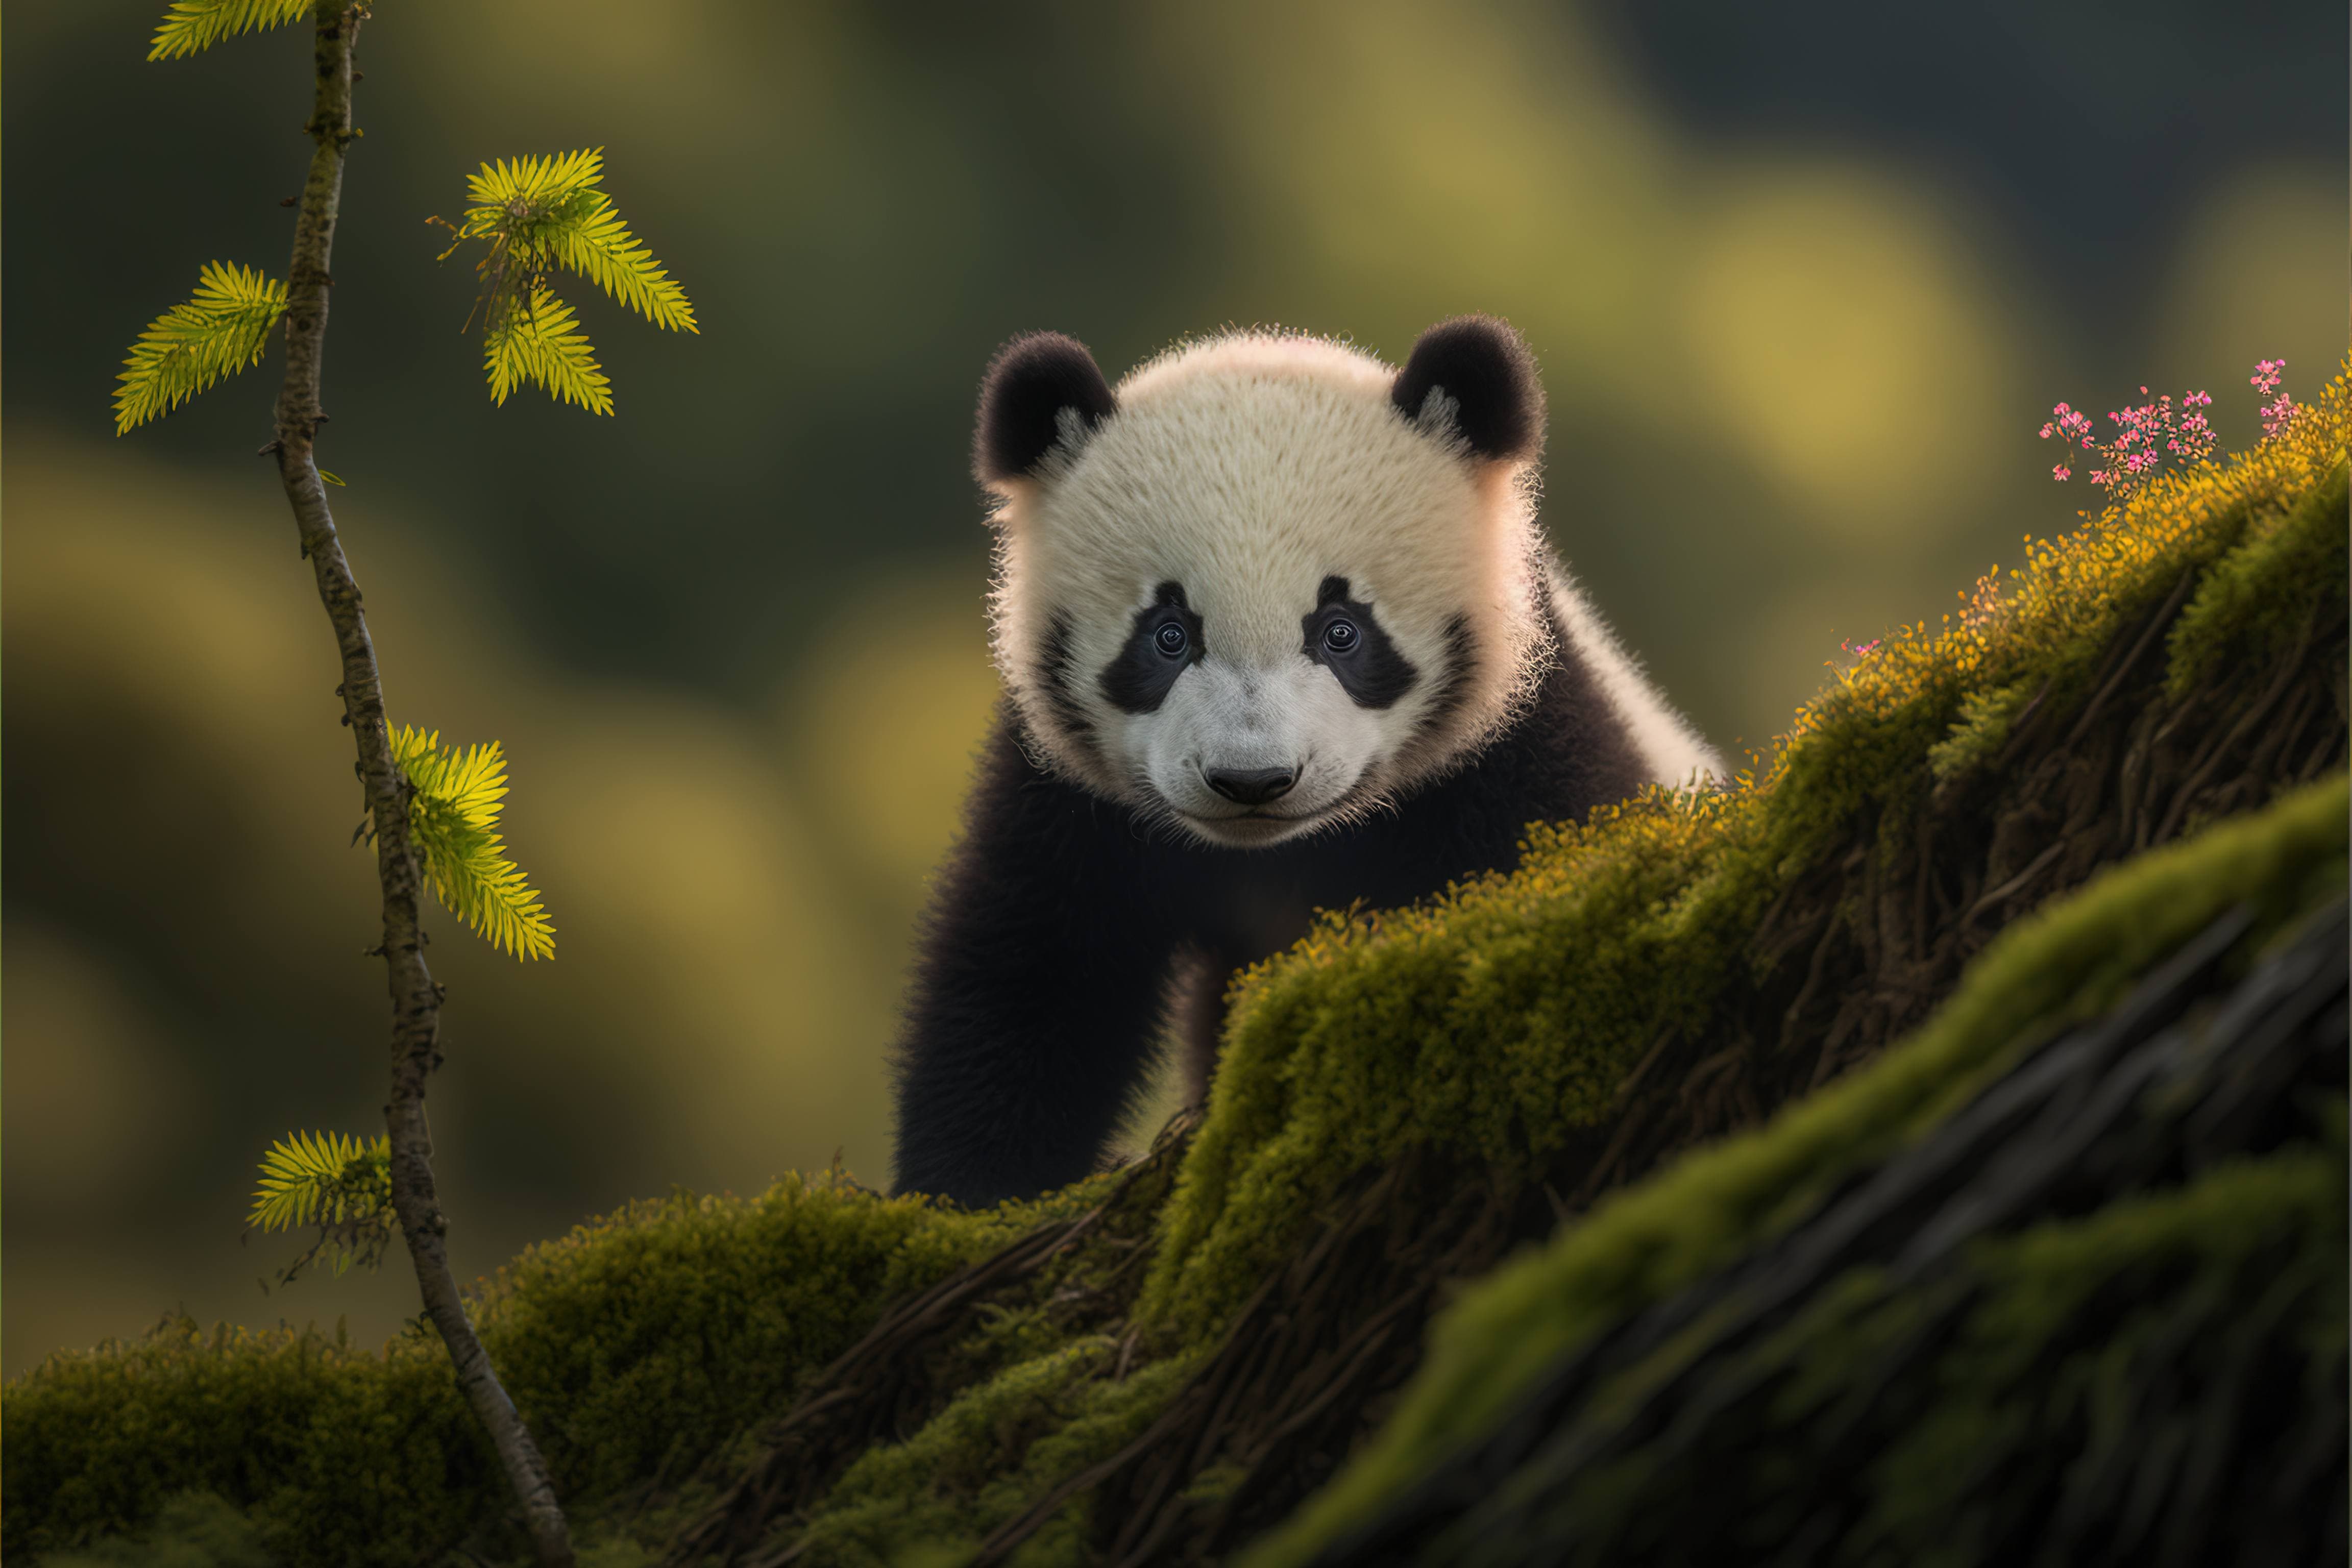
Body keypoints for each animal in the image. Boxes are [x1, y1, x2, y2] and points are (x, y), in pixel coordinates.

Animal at [891, 316, 1719, 1207]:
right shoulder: (1074, 803)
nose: (1252, 780)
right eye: (1168, 635)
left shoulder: (1516, 759)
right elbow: (1032, 978)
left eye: (1342, 631)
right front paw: (970, 1191)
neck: (1280, 853)